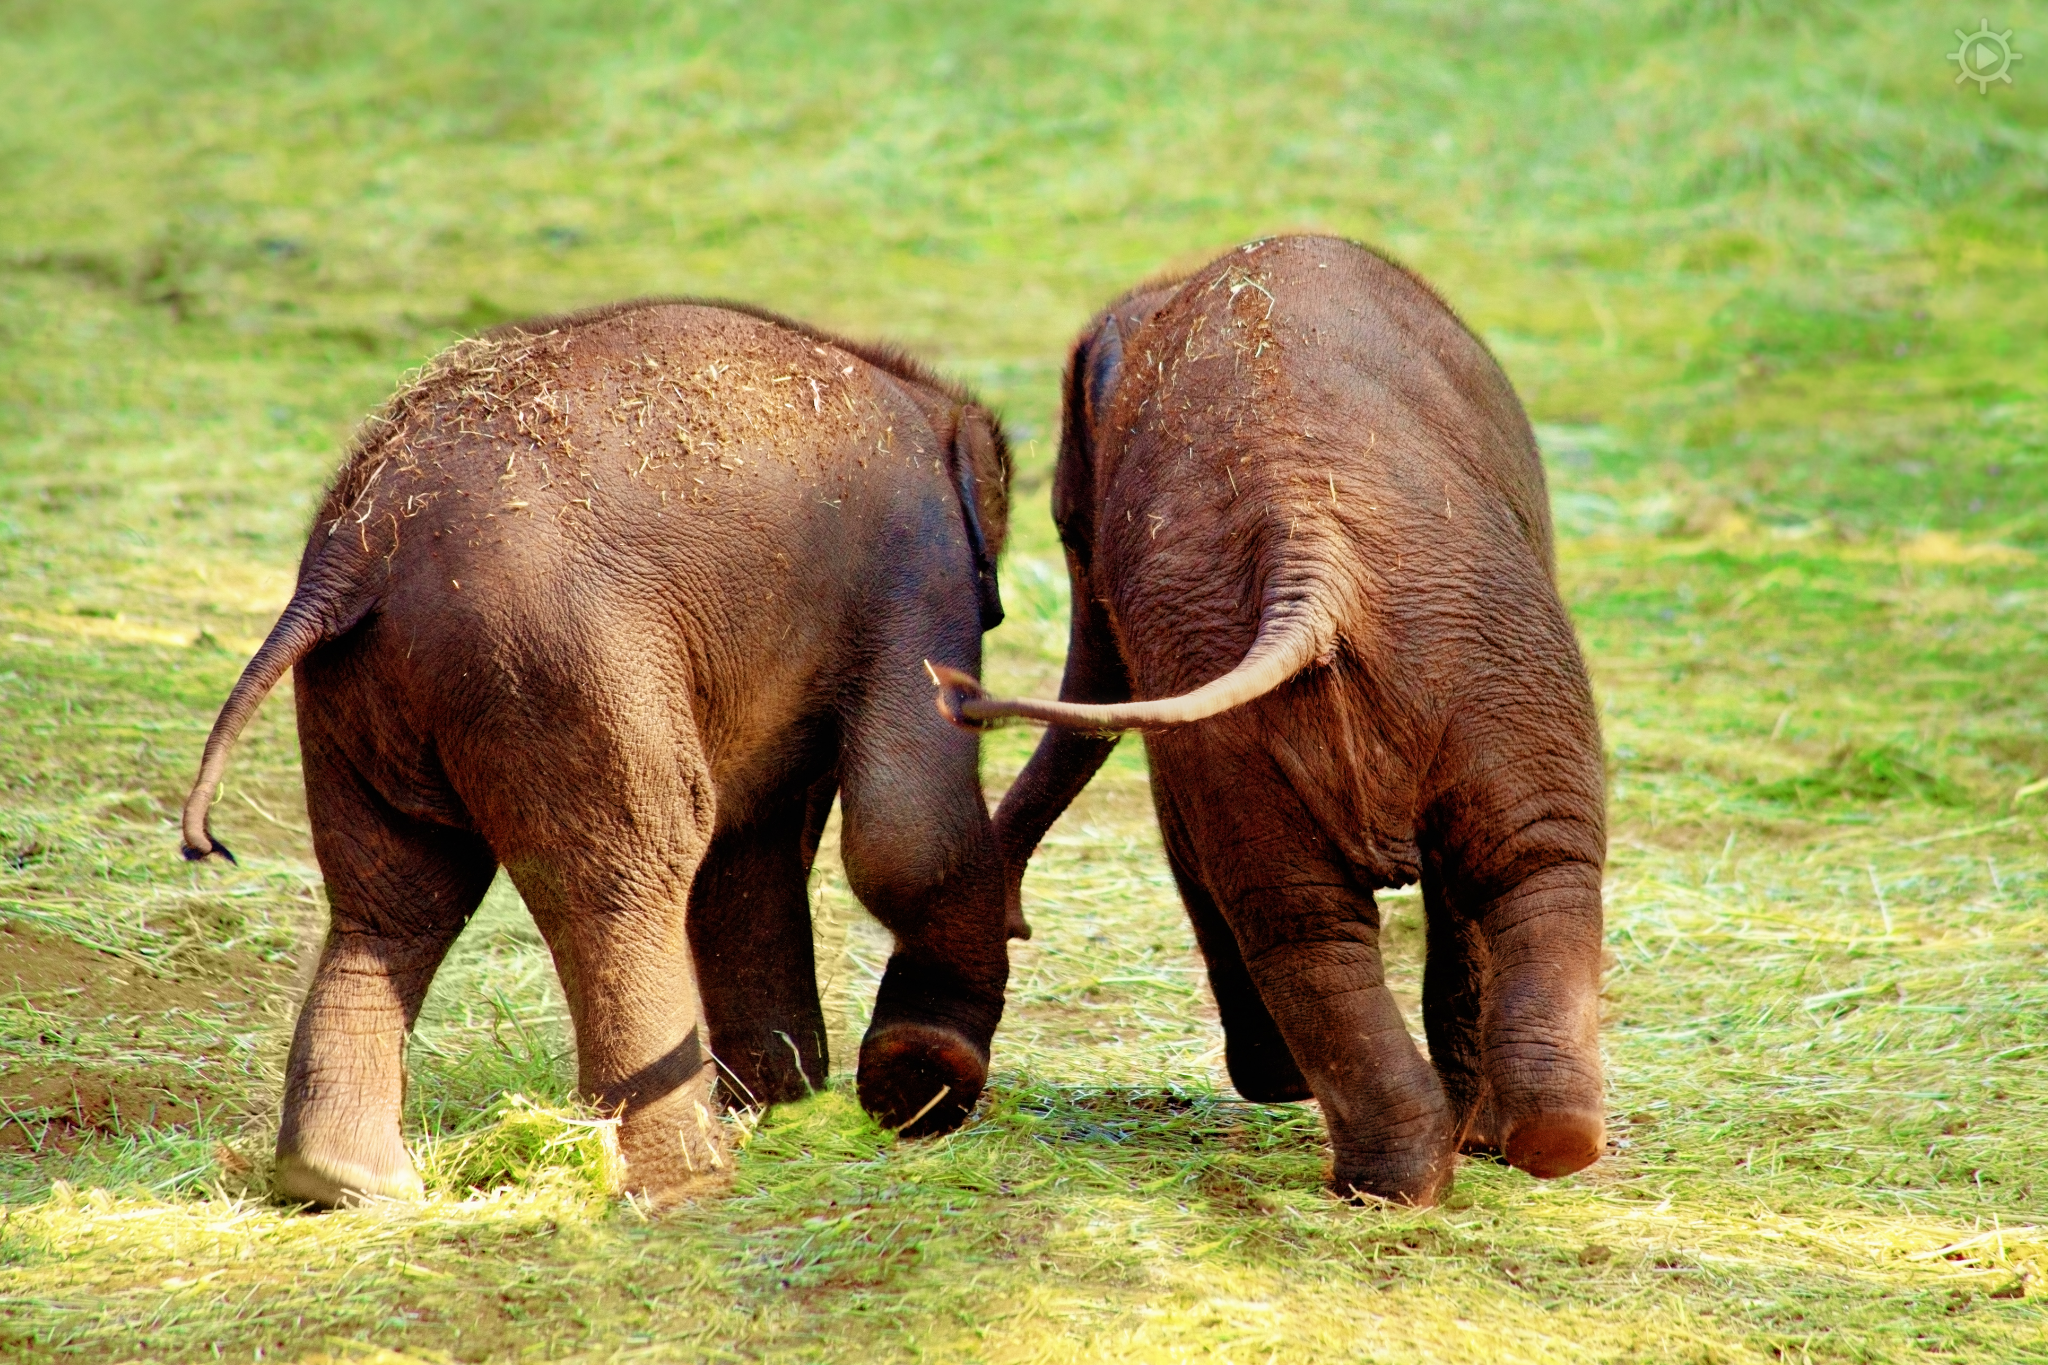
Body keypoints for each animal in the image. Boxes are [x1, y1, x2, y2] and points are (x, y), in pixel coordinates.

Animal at [182, 300, 1013, 1208]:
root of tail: (357, 548)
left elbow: (748, 847)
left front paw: (786, 1102)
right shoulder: (921, 570)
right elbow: (904, 835)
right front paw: (915, 1086)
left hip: (368, 694)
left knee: (397, 896)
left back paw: (348, 1183)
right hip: (557, 660)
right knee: (633, 871)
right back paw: (686, 1179)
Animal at [936, 236, 1607, 1206]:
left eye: (1065, 531)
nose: (1013, 921)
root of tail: (1311, 555)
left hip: (1475, 661)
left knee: (1465, 879)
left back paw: (1484, 1151)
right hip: (1425, 671)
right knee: (1370, 906)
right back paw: (1432, 1167)